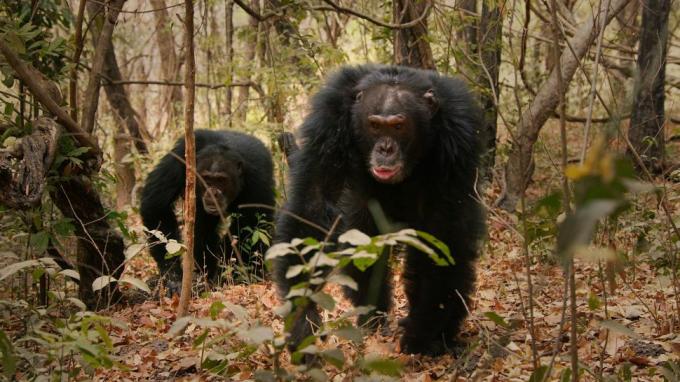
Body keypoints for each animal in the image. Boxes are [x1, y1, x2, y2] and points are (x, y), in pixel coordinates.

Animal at [142, 130, 274, 294]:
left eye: (221, 180)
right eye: (206, 179)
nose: (212, 192)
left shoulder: (258, 178)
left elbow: (251, 226)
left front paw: (233, 275)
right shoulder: (180, 157)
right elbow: (157, 205)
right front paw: (173, 277)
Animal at [270, 65, 484, 358]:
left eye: (398, 126)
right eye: (375, 126)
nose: (385, 148)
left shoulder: (458, 134)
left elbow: (443, 230)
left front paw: (421, 334)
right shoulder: (329, 118)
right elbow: (314, 201)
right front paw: (302, 322)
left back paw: (442, 336)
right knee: (362, 237)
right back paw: (372, 318)